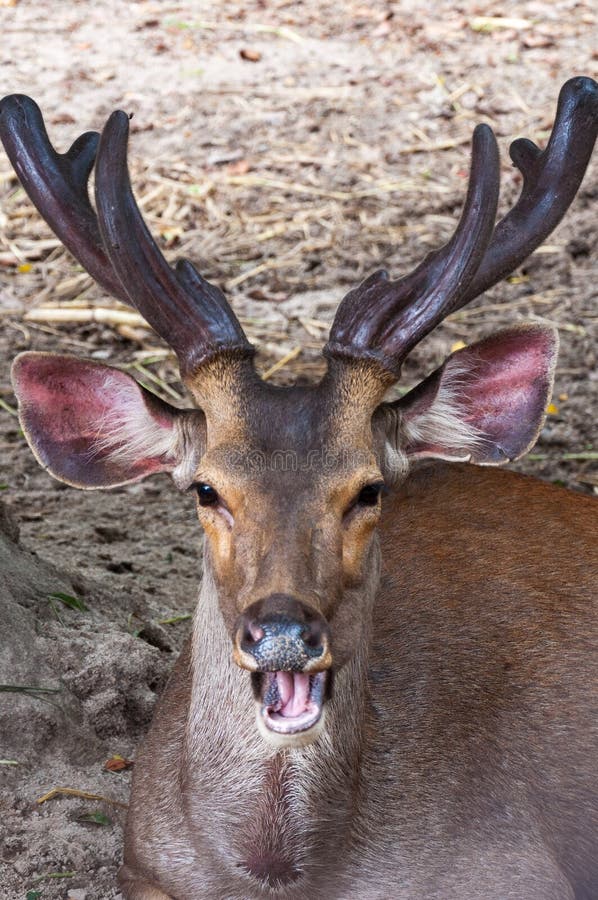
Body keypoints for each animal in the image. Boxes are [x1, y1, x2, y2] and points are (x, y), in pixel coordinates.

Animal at [1, 76, 597, 899]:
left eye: (370, 489)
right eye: (207, 490)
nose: (282, 632)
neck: (280, 869)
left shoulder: (517, 864)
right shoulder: (143, 862)